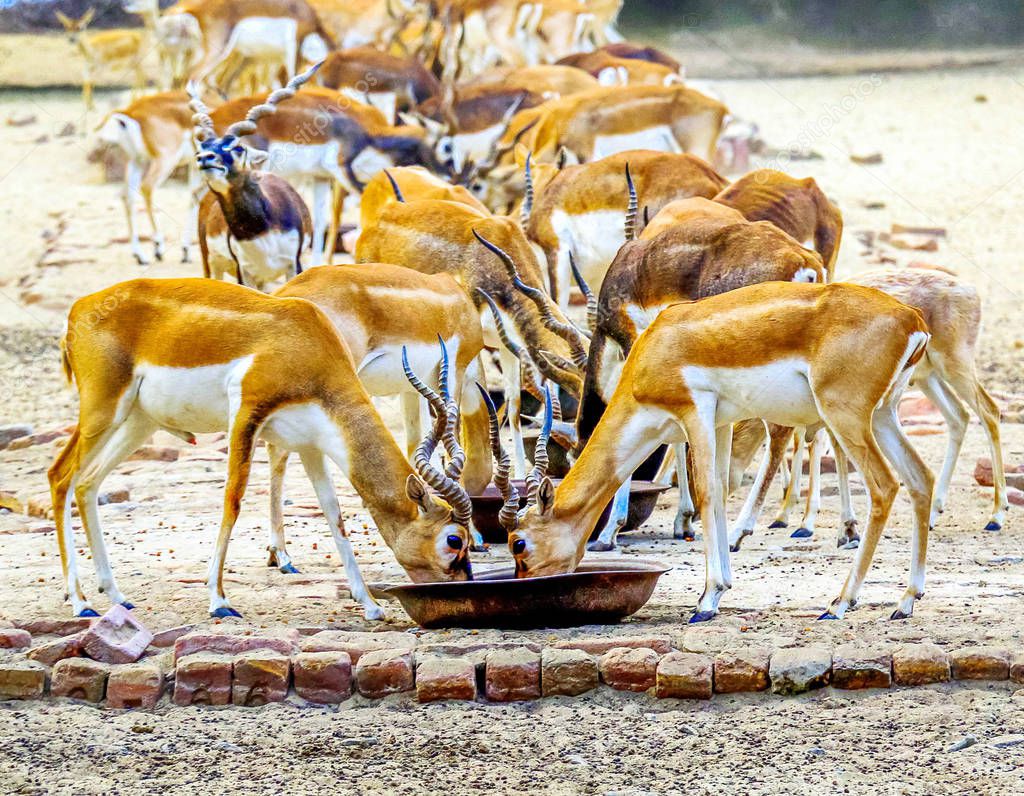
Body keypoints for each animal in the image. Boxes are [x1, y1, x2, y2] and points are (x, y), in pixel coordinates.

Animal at [48, 277, 475, 619]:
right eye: (454, 539)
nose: (458, 585)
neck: (307, 344)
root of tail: (79, 308)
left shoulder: (311, 445)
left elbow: (334, 515)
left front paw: (369, 604)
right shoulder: (246, 414)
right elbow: (233, 501)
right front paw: (219, 601)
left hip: (139, 421)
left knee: (87, 484)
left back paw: (115, 596)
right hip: (103, 410)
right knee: (60, 476)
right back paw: (80, 602)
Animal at [96, 91, 199, 265]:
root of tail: (130, 112)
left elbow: (195, 198)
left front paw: (186, 251)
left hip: (137, 160)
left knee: (127, 196)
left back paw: (140, 255)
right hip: (165, 161)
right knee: (147, 187)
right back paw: (158, 247)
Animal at [189, 68, 318, 290]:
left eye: (239, 148)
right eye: (201, 148)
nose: (205, 158)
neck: (260, 231)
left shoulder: (295, 265)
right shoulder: (245, 272)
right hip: (211, 264)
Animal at [489, 280, 933, 623]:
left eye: (519, 543)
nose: (530, 585)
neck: (655, 349)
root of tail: (912, 319)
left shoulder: (694, 411)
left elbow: (705, 492)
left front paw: (706, 601)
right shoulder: (721, 423)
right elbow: (719, 490)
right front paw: (721, 590)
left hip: (846, 416)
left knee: (884, 486)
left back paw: (839, 603)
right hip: (883, 415)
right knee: (919, 480)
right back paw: (906, 601)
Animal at [576, 195, 825, 550]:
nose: (591, 528)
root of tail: (804, 260)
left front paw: (610, 532)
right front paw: (684, 521)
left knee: (780, 431)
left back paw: (740, 531)